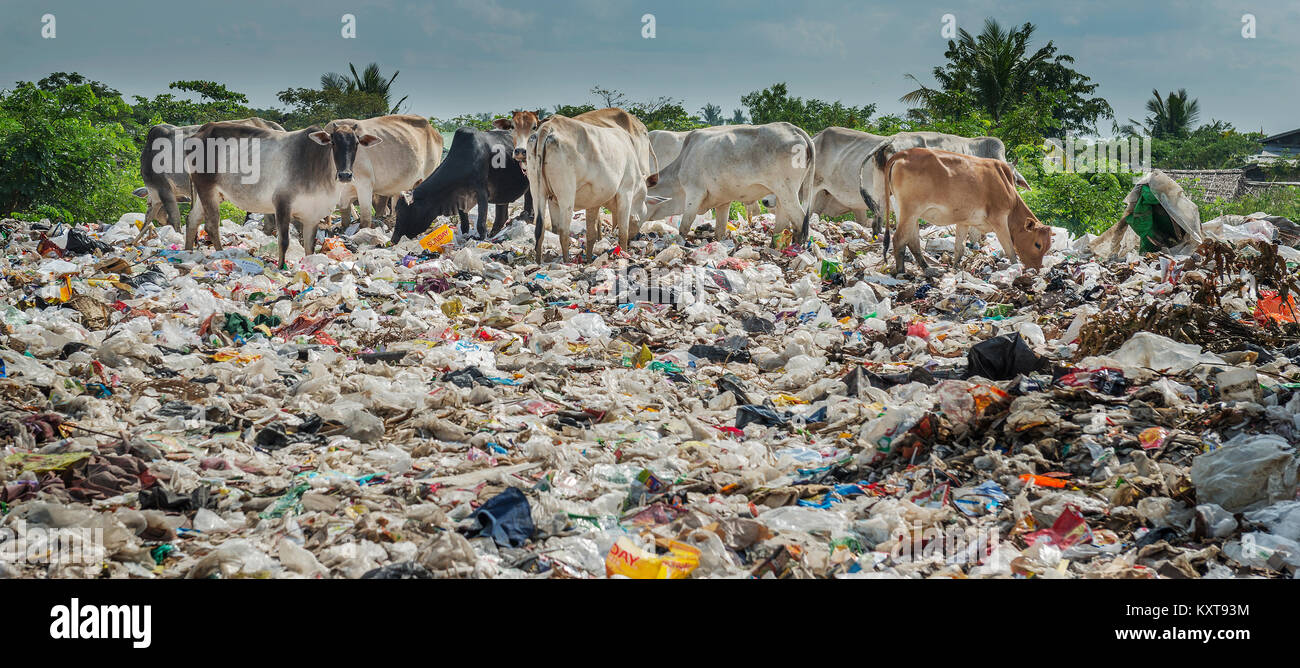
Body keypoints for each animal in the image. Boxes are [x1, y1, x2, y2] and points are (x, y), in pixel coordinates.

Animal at [185, 120, 387, 268]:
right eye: (333, 142)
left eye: (356, 144)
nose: (345, 174)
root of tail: (201, 131)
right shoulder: (282, 204)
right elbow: (284, 241)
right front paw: (282, 268)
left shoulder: (313, 214)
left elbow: (309, 244)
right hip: (206, 188)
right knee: (211, 225)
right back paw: (220, 254)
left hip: (213, 193)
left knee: (192, 219)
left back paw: (187, 252)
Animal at [391, 126, 532, 242]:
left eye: (404, 211)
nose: (393, 239)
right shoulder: (460, 198)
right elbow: (464, 224)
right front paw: (465, 236)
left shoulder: (482, 193)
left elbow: (481, 224)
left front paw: (481, 239)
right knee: (501, 216)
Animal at [525, 114, 648, 263]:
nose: (635, 237)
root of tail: (549, 126)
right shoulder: (626, 191)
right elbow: (623, 231)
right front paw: (624, 254)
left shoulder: (592, 203)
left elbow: (591, 235)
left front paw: (589, 259)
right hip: (566, 193)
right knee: (563, 231)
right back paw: (567, 262)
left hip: (537, 191)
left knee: (540, 229)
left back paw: (538, 261)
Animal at [645, 123, 815, 243]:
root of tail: (794, 129)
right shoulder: (723, 202)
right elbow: (720, 231)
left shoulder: (694, 193)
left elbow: (684, 227)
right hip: (782, 194)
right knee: (784, 222)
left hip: (786, 192)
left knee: (800, 222)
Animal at [879, 148, 1051, 276]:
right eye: (1038, 244)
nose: (1036, 270)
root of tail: (904, 153)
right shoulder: (999, 219)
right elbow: (1010, 250)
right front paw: (1015, 269)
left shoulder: (964, 222)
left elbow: (959, 249)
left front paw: (955, 269)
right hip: (910, 211)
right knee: (899, 239)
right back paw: (902, 272)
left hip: (907, 214)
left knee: (913, 241)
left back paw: (928, 269)